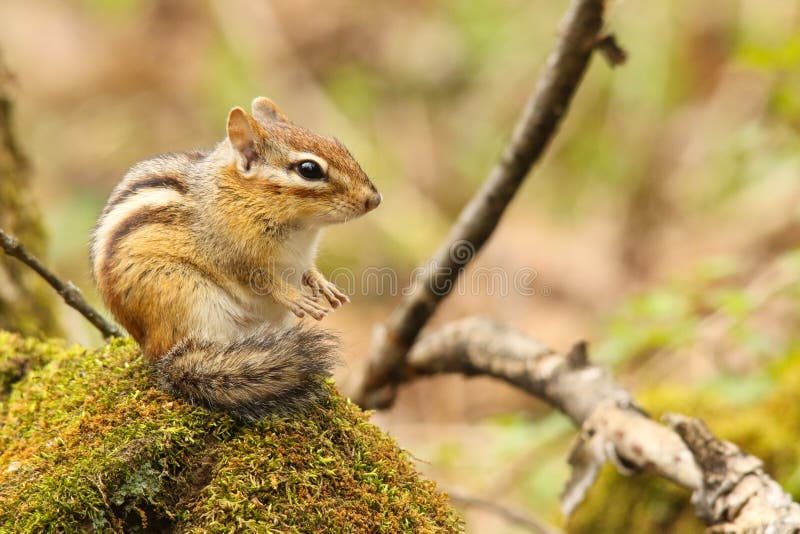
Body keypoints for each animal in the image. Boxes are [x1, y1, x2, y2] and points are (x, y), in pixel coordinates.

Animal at [90, 97, 381, 420]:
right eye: (309, 169)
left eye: (337, 144)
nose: (374, 199)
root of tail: (154, 353)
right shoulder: (230, 254)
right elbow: (260, 279)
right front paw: (295, 297)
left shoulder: (303, 258)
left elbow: (308, 270)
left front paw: (322, 284)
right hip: (184, 295)